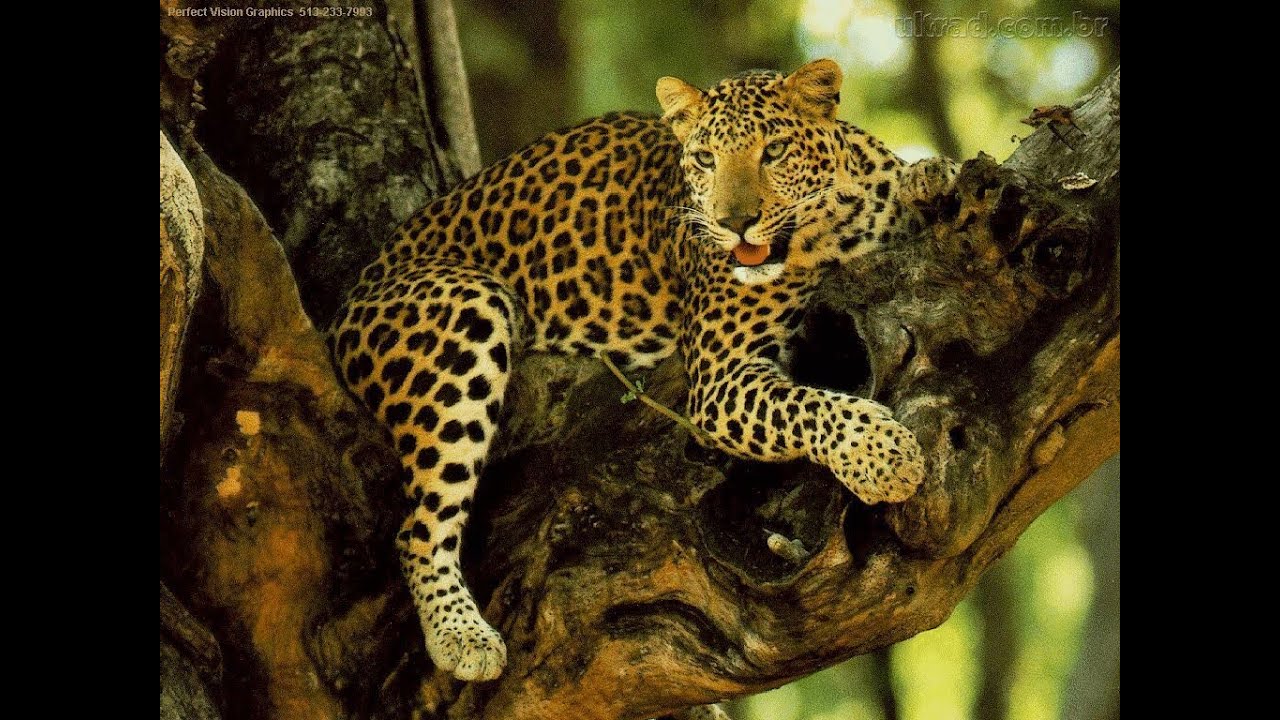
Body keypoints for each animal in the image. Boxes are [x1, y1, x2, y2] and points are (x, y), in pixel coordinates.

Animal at [329, 58, 957, 683]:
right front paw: (884, 456)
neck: (833, 233)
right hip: (465, 307)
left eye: (774, 151)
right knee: (418, 527)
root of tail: (348, 299)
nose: (736, 223)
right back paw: (461, 633)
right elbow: (808, 405)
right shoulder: (719, 376)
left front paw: (933, 177)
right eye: (705, 159)